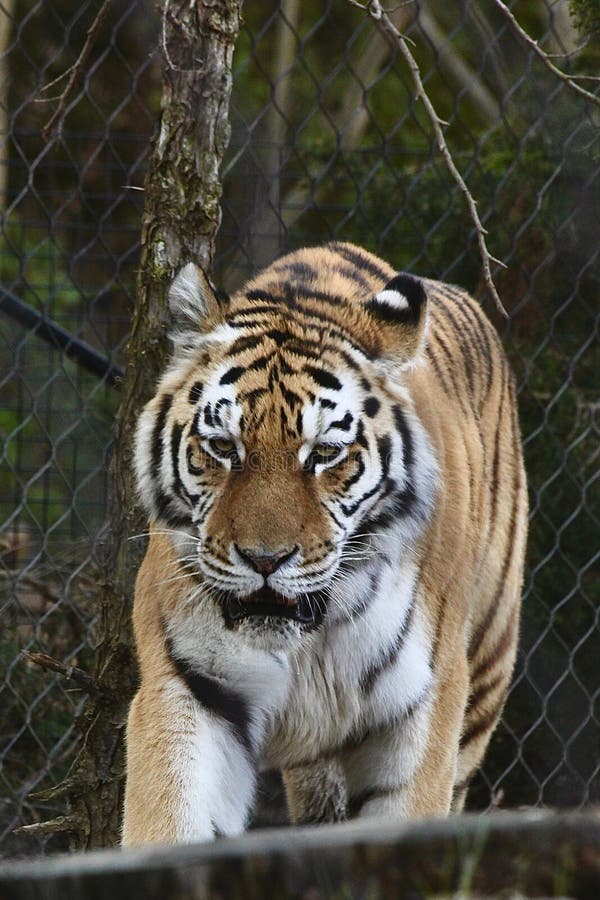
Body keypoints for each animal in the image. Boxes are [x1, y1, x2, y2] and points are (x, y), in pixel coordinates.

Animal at [122, 242, 528, 846]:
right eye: (223, 447)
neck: (308, 638)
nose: (265, 560)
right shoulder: (191, 688)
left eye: (324, 454)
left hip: (487, 672)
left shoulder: (422, 706)